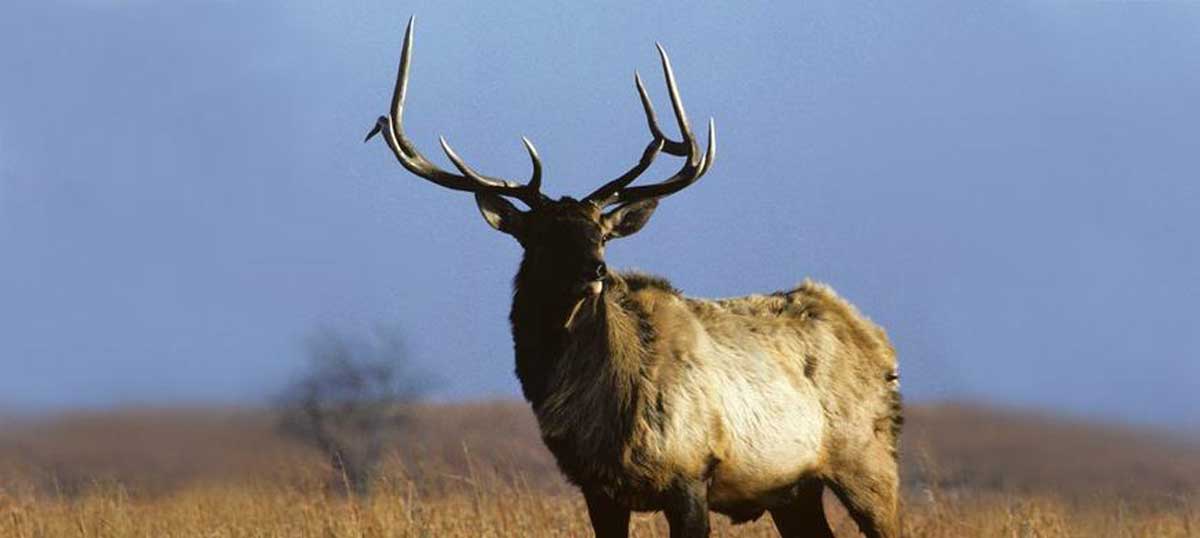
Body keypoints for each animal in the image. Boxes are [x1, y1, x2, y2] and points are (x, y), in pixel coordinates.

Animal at [365, 17, 902, 538]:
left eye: (602, 235)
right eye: (541, 236)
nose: (595, 270)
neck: (599, 414)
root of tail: (878, 340)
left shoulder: (690, 473)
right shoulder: (597, 489)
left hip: (870, 462)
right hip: (791, 489)